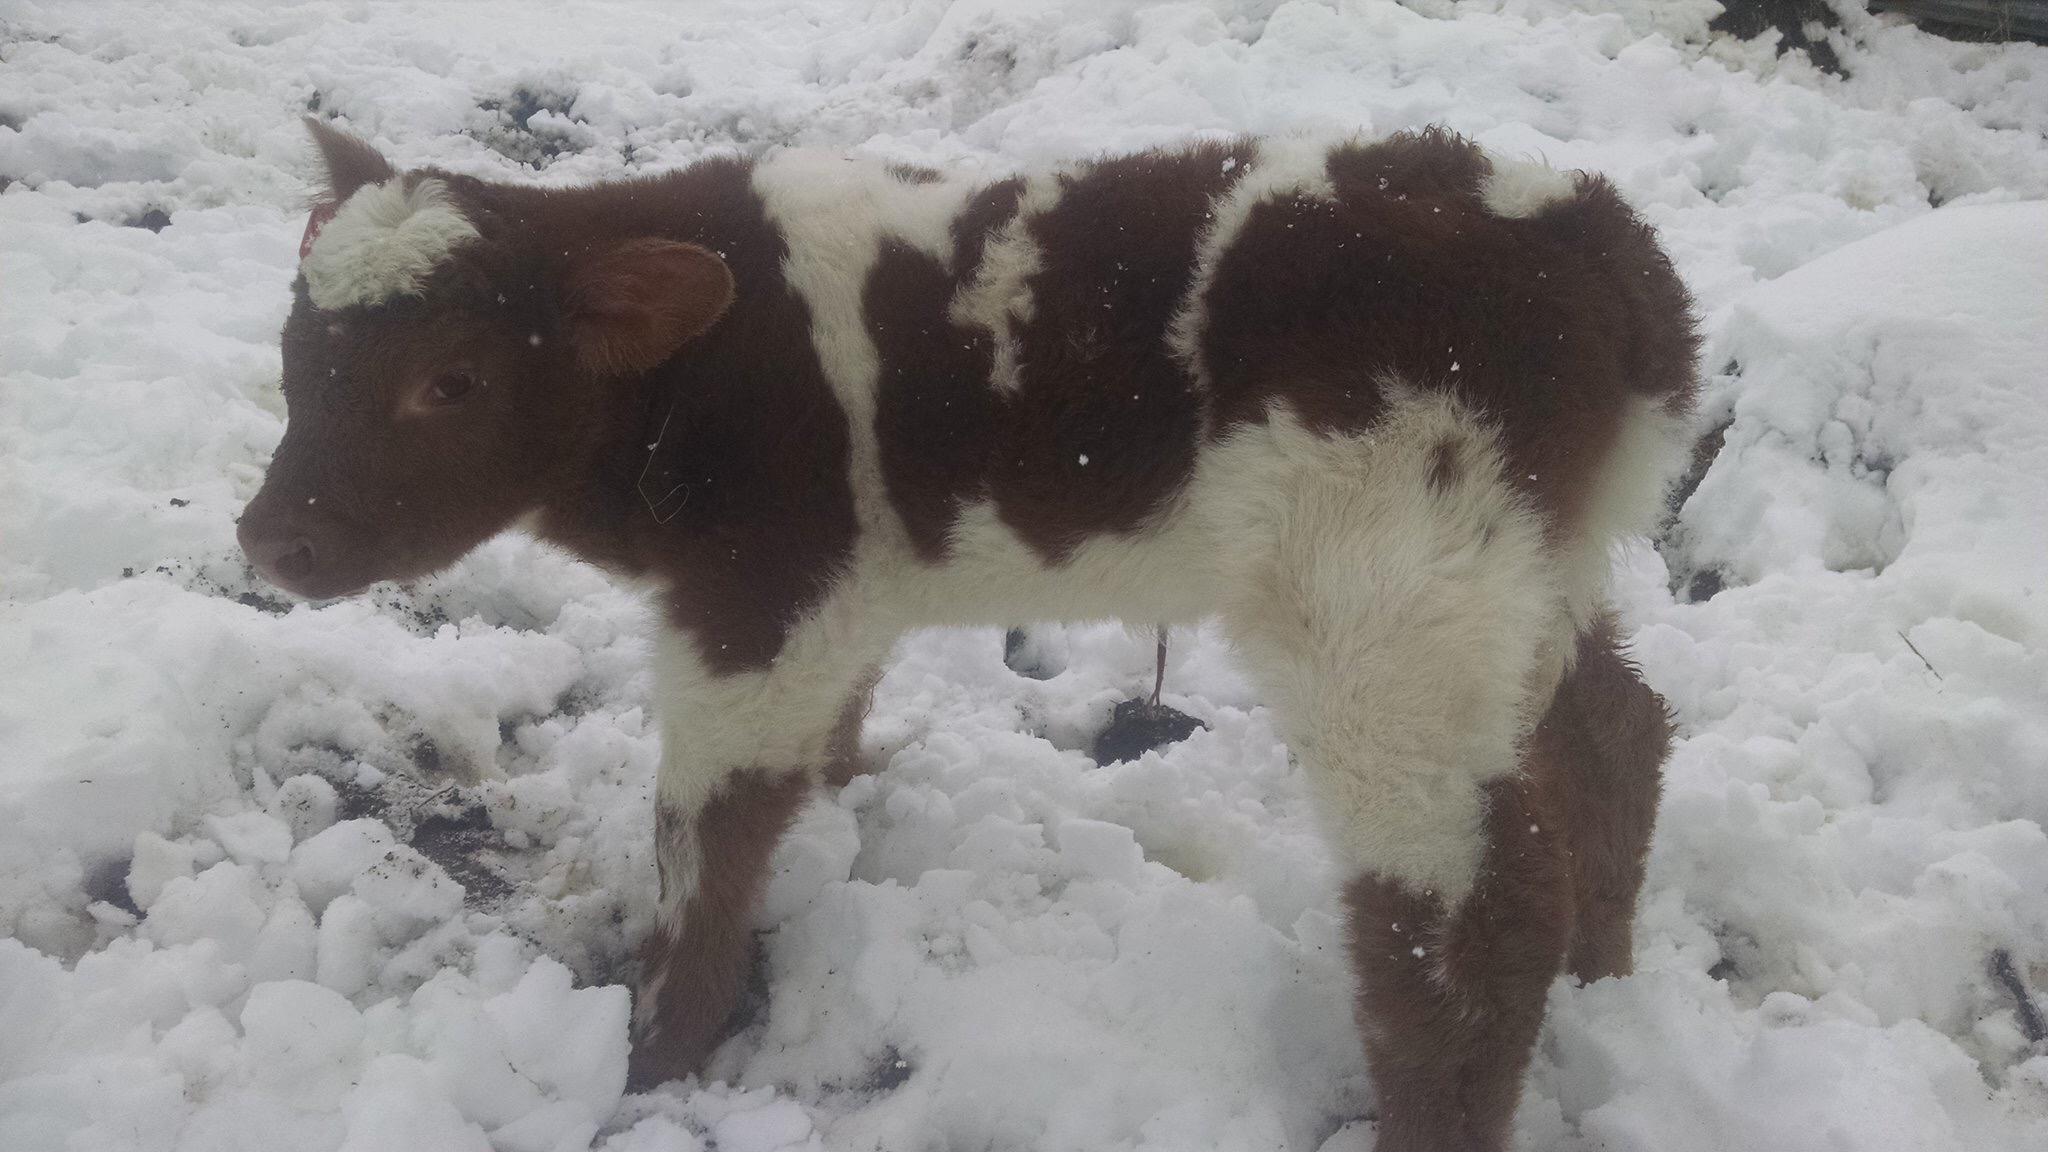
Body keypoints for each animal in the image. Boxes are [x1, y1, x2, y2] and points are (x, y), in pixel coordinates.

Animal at [239, 118, 1694, 1151]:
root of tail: (1593, 233)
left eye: (451, 381)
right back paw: (1607, 979)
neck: (706, 361)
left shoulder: (753, 601)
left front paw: (657, 1051)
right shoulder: (834, 601)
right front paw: (835, 821)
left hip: (1383, 608)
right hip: (1519, 576)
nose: (273, 542)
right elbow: (819, 750)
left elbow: (709, 828)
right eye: (298, 357)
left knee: (1467, 911)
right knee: (1616, 731)